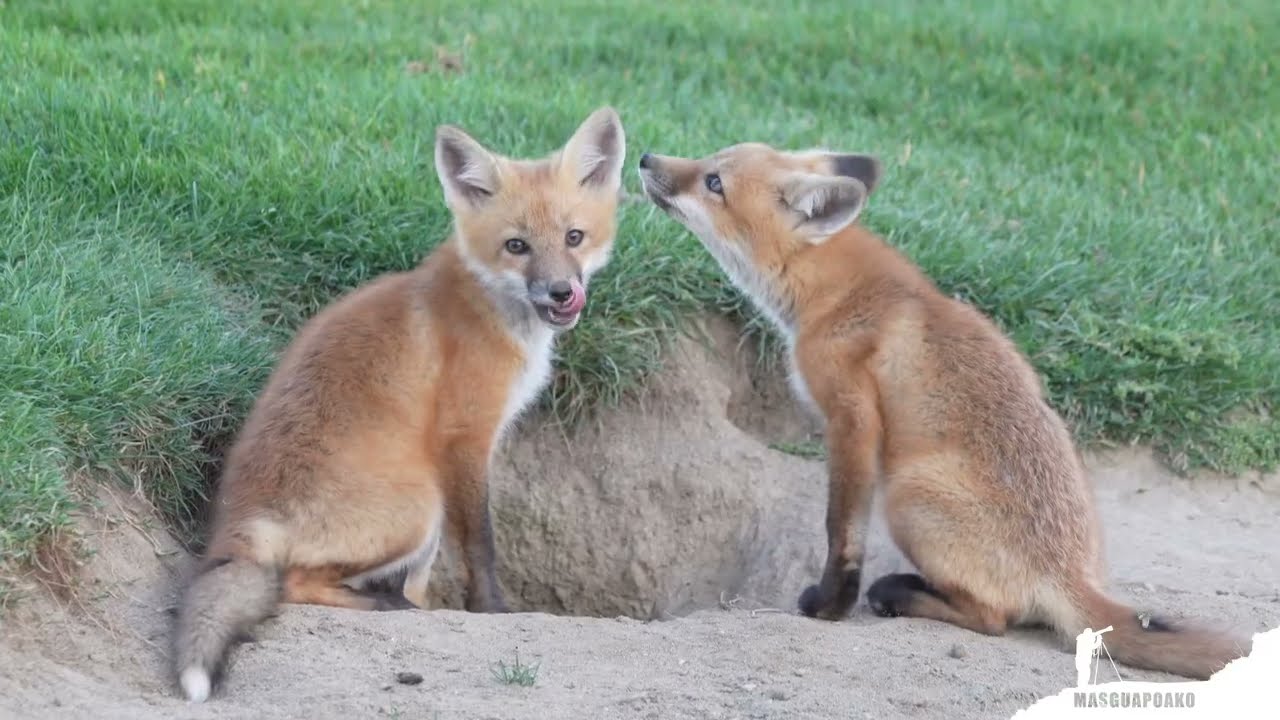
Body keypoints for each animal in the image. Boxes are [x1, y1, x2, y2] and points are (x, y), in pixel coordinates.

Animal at [171, 106, 627, 703]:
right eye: (517, 246)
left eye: (574, 237)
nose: (561, 293)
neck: (488, 307)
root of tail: (238, 524)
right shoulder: (465, 438)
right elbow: (480, 544)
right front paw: (491, 610)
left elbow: (433, 572)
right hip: (421, 505)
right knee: (294, 582)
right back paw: (384, 605)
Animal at [637, 142, 1252, 680]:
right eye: (710, 162)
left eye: (714, 182)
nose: (645, 157)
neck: (839, 296)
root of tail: (1070, 573)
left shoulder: (852, 417)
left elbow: (841, 527)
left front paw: (831, 605)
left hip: (908, 496)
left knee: (995, 620)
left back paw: (898, 594)